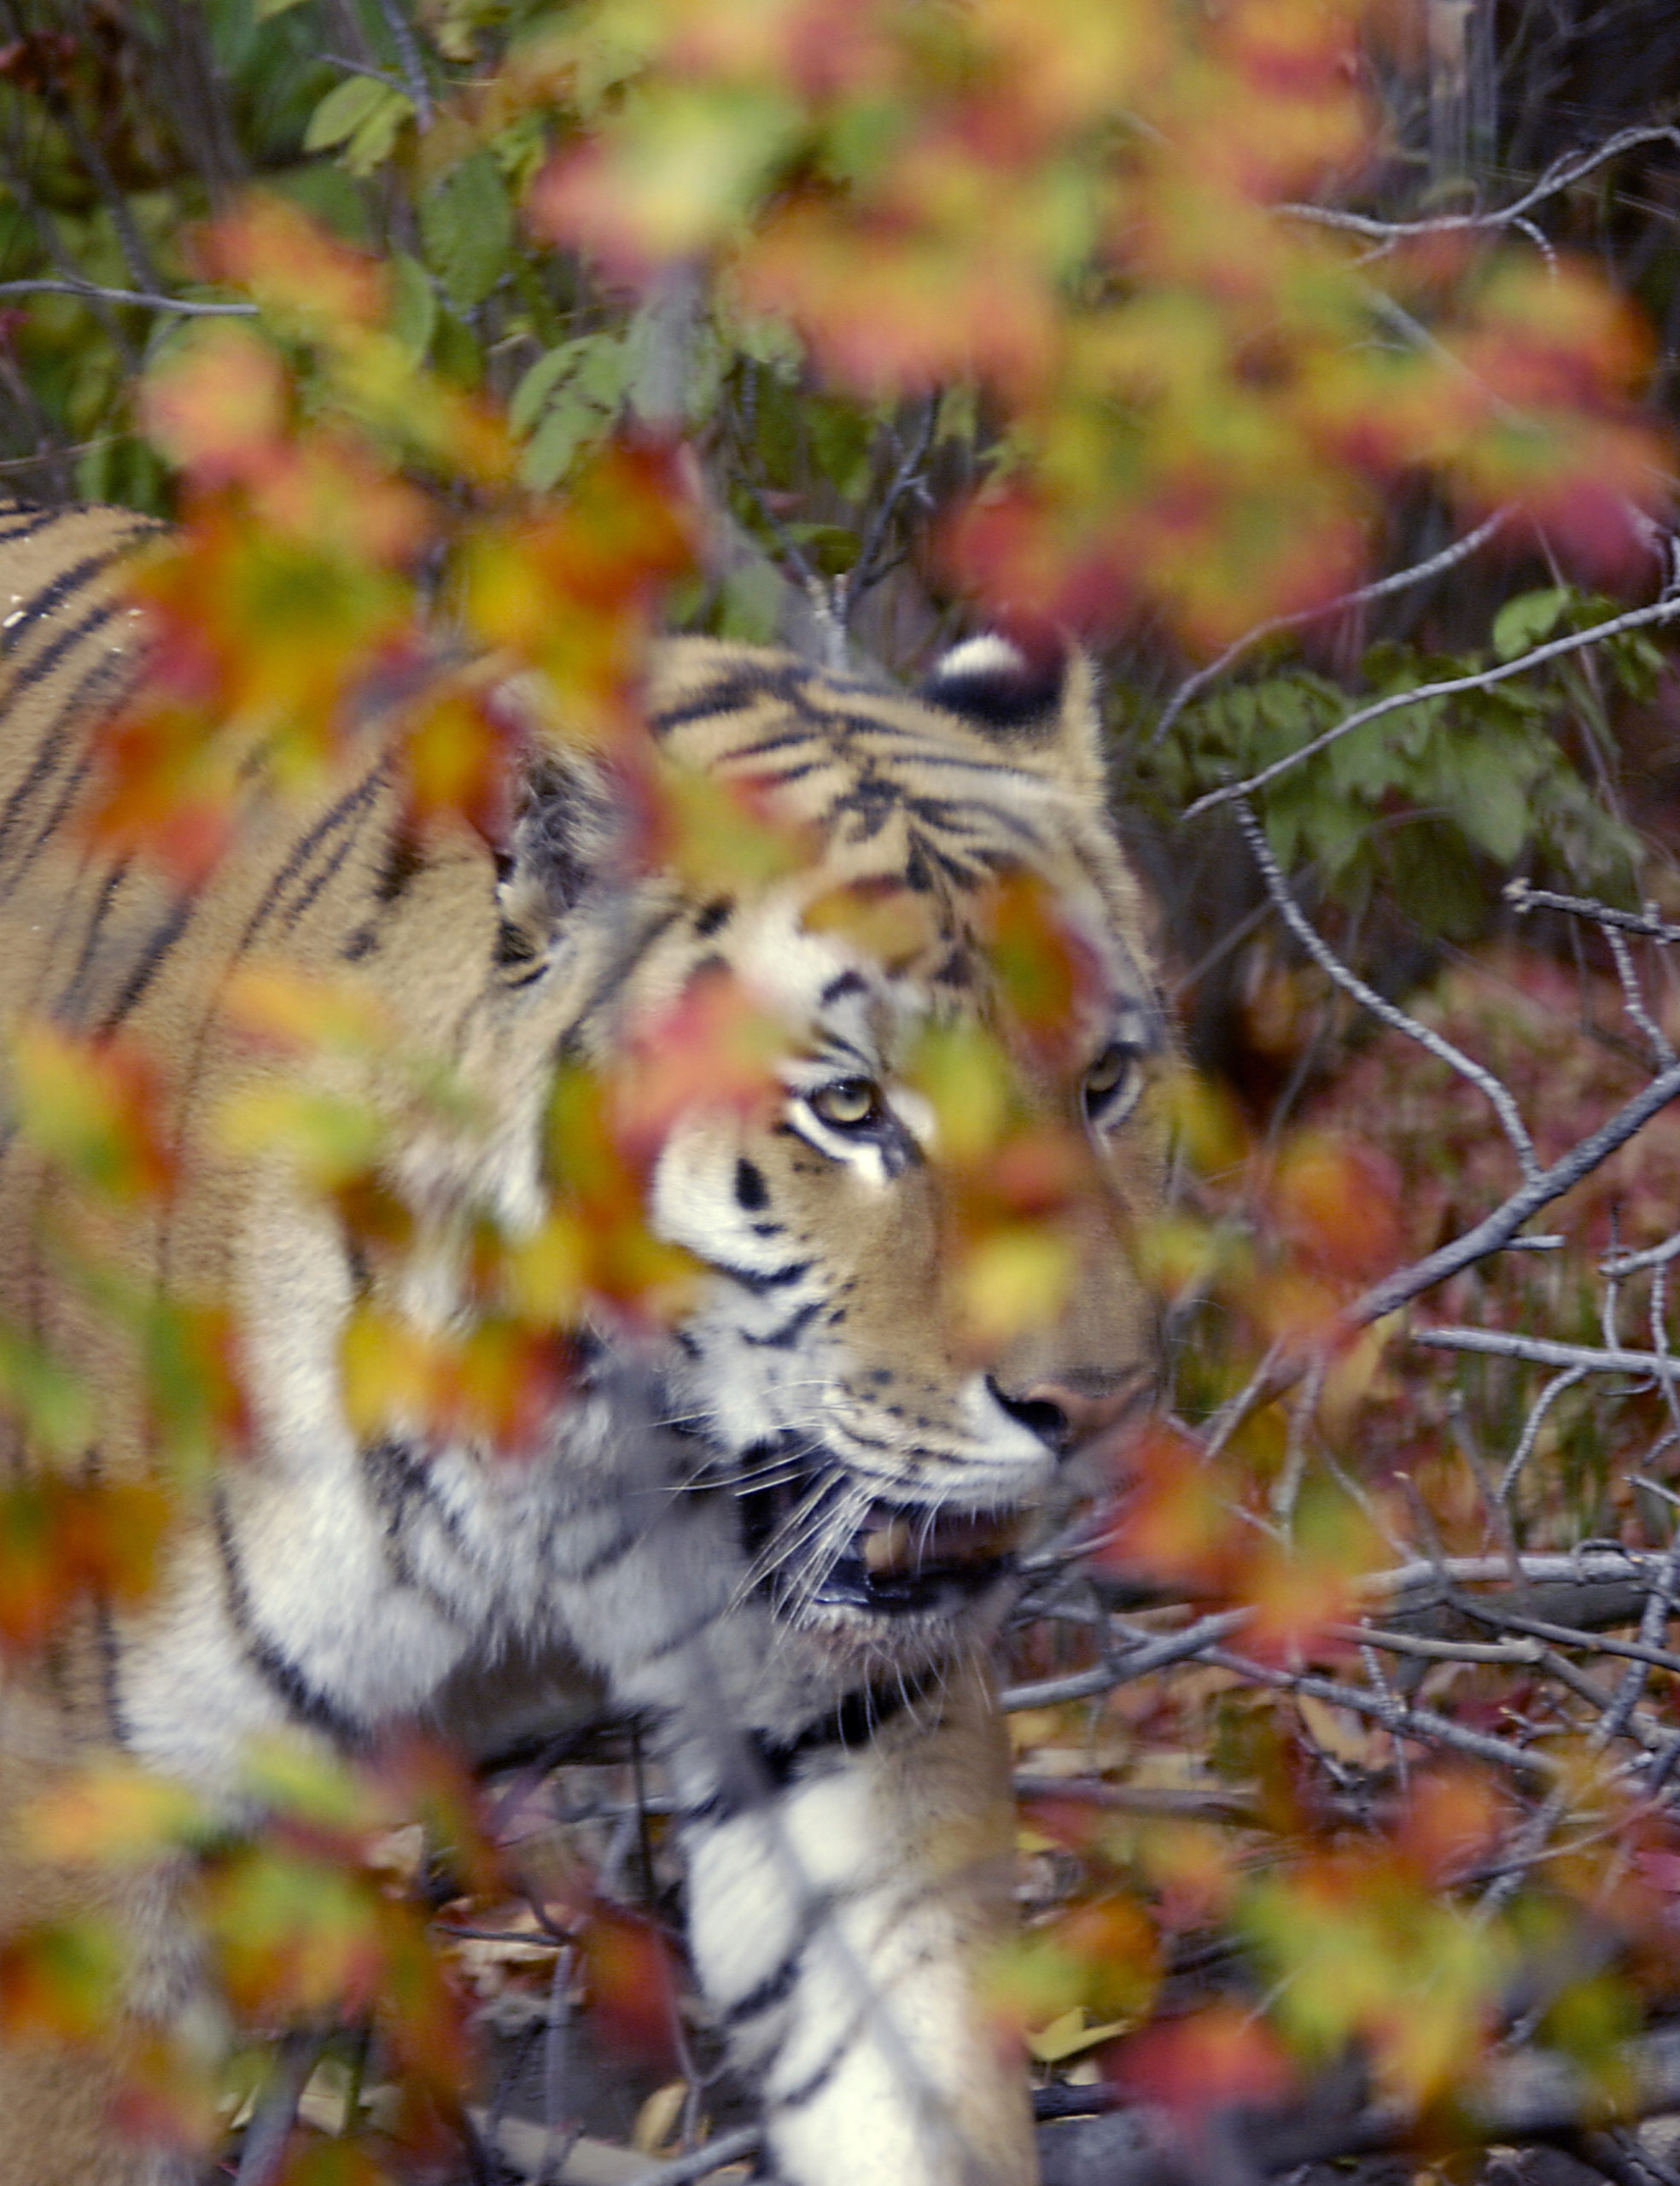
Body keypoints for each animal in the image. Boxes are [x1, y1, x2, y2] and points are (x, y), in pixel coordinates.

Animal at [0, 497, 1167, 2186]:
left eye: (1104, 1081)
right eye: (851, 1107)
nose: (1092, 1402)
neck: (571, 1455)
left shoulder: (843, 1733)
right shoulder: (77, 1842)